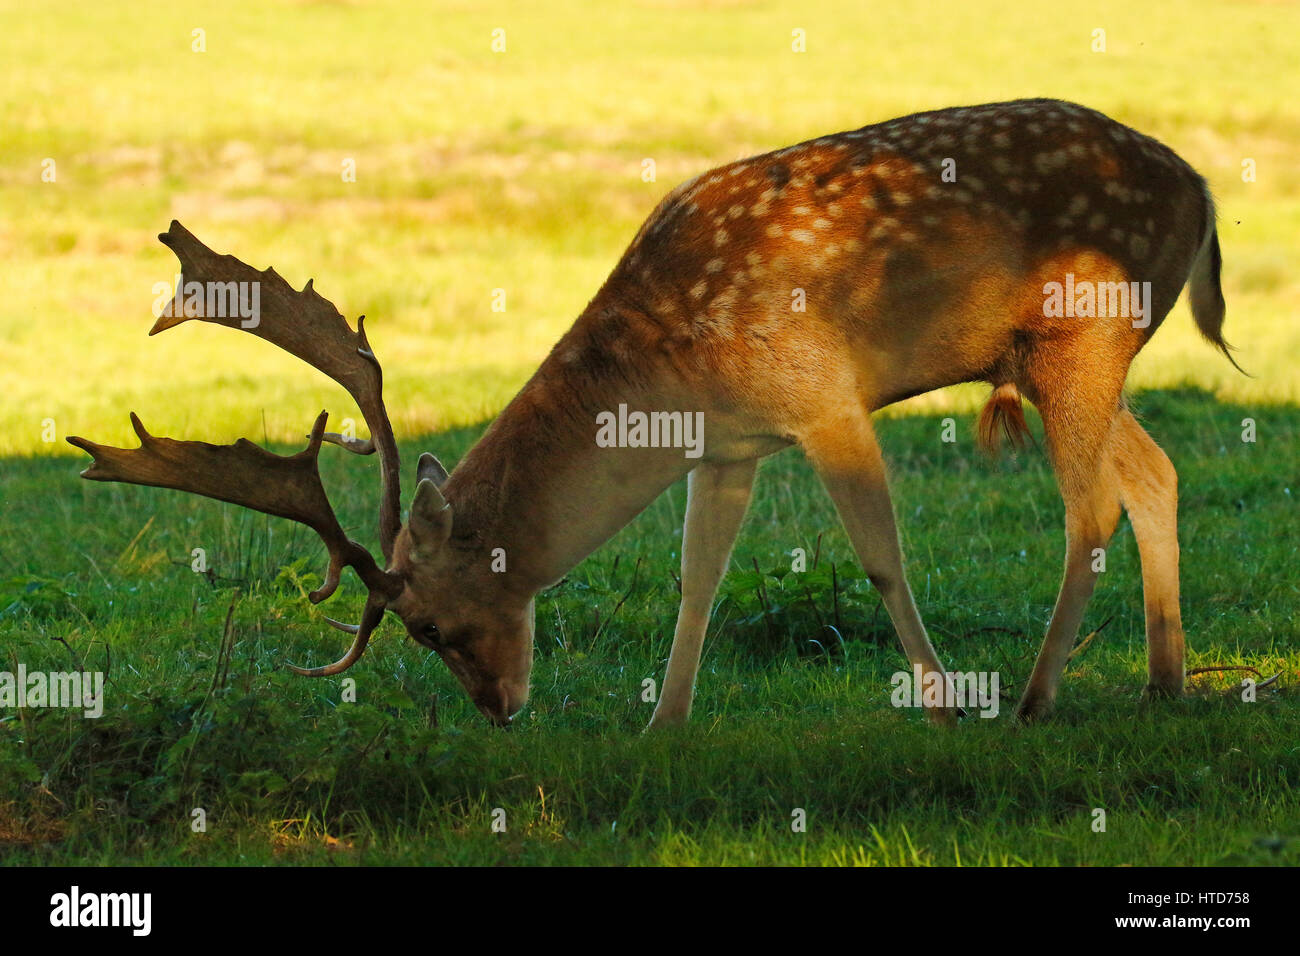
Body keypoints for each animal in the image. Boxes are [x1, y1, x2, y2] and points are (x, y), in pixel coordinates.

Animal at [69, 98, 1237, 728]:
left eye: (429, 623)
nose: (500, 710)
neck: (669, 368)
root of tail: (1205, 193)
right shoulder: (730, 444)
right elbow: (697, 576)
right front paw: (663, 721)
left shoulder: (825, 395)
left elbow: (878, 557)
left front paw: (945, 701)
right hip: (1053, 361)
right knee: (1157, 472)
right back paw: (1164, 681)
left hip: (1080, 335)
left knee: (1090, 506)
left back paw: (1036, 697)